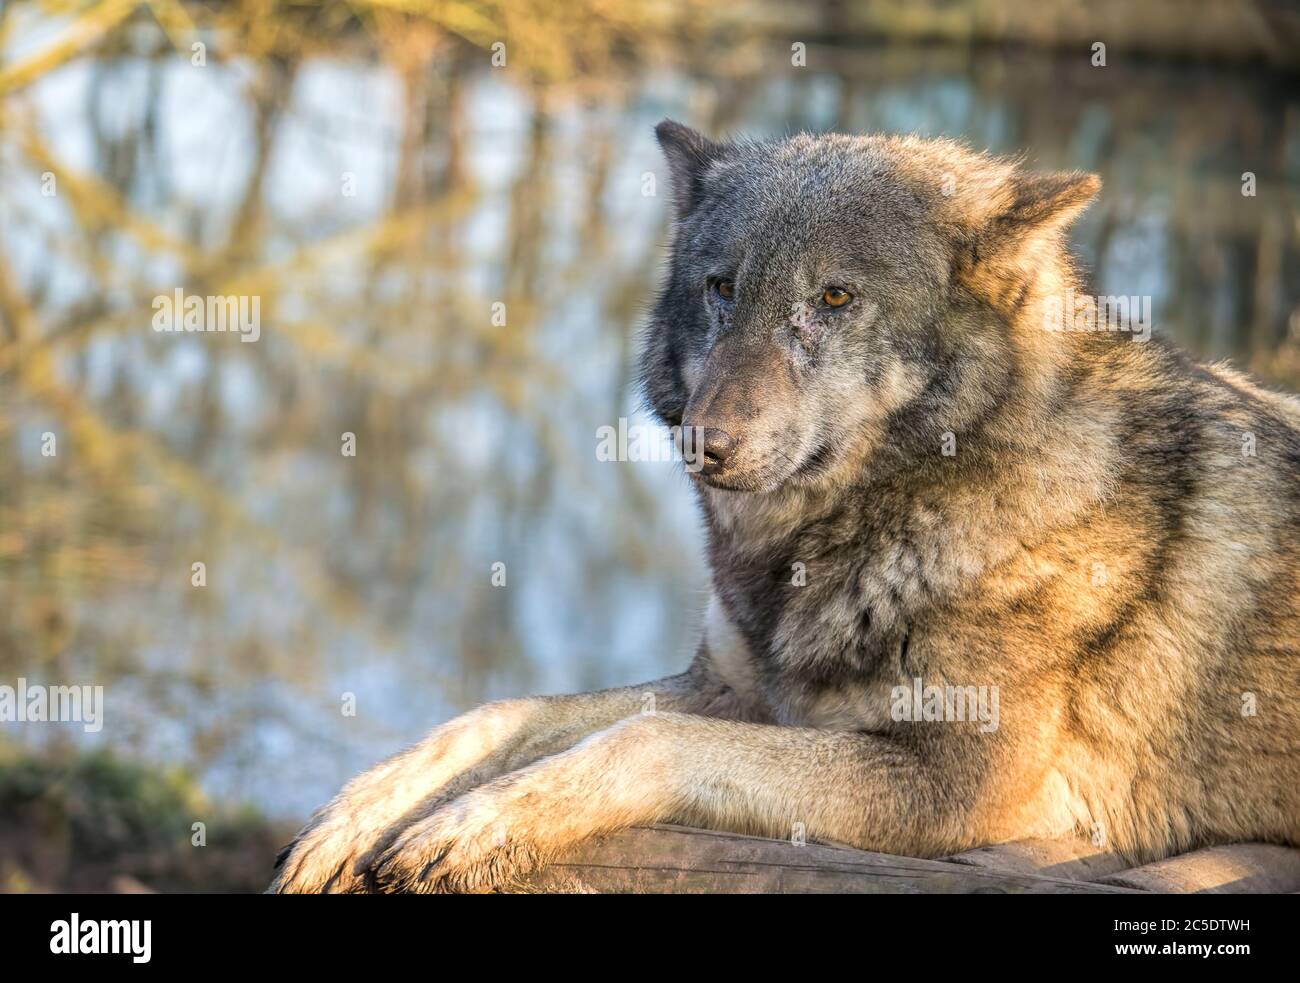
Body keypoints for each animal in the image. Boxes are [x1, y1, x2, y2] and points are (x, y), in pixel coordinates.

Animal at [271, 121, 1300, 893]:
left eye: (835, 298)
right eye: (723, 288)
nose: (706, 441)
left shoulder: (958, 786)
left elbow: (645, 738)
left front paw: (485, 820)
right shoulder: (730, 687)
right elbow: (505, 713)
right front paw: (362, 809)